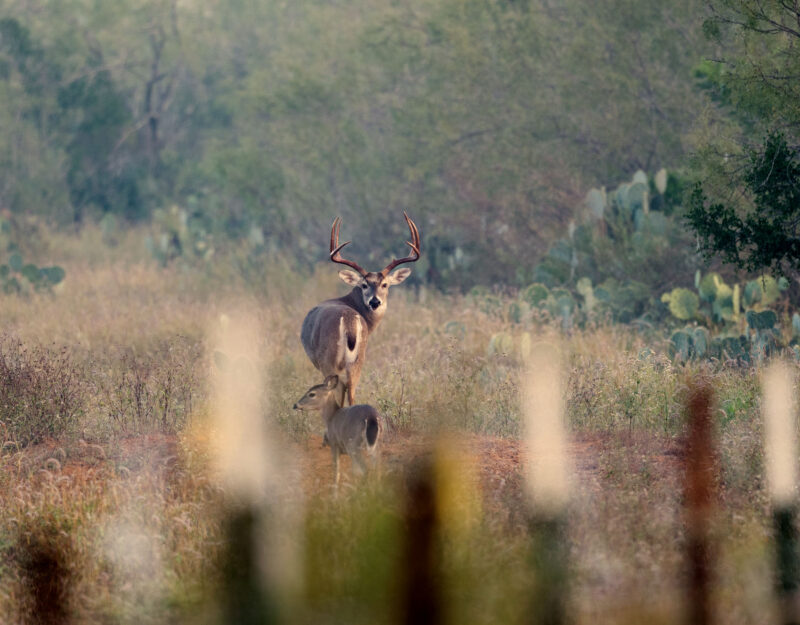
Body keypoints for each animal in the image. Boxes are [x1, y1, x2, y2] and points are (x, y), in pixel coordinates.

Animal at [300, 212, 420, 406]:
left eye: (385, 285)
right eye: (364, 285)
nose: (375, 302)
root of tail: (349, 323)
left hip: (329, 360)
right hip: (358, 360)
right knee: (352, 394)